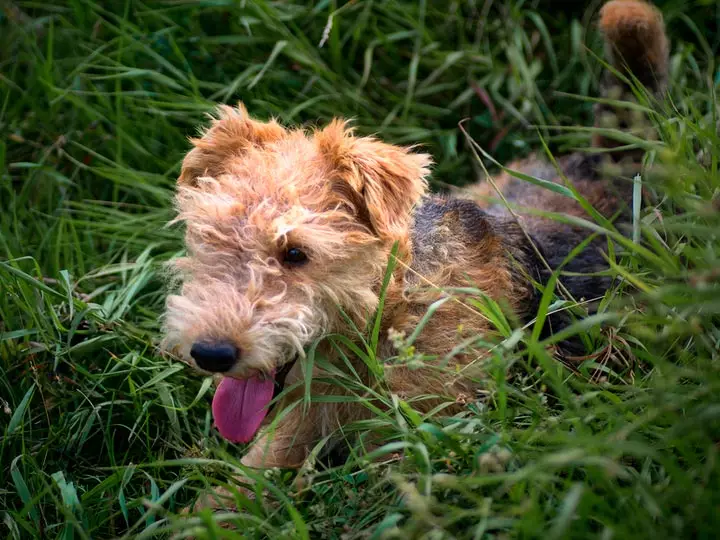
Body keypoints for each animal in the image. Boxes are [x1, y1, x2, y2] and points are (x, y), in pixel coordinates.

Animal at [163, 0, 668, 512]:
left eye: (296, 253)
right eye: (212, 237)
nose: (210, 353)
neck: (391, 308)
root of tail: (603, 162)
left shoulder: (418, 445)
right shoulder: (298, 423)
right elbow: (239, 488)